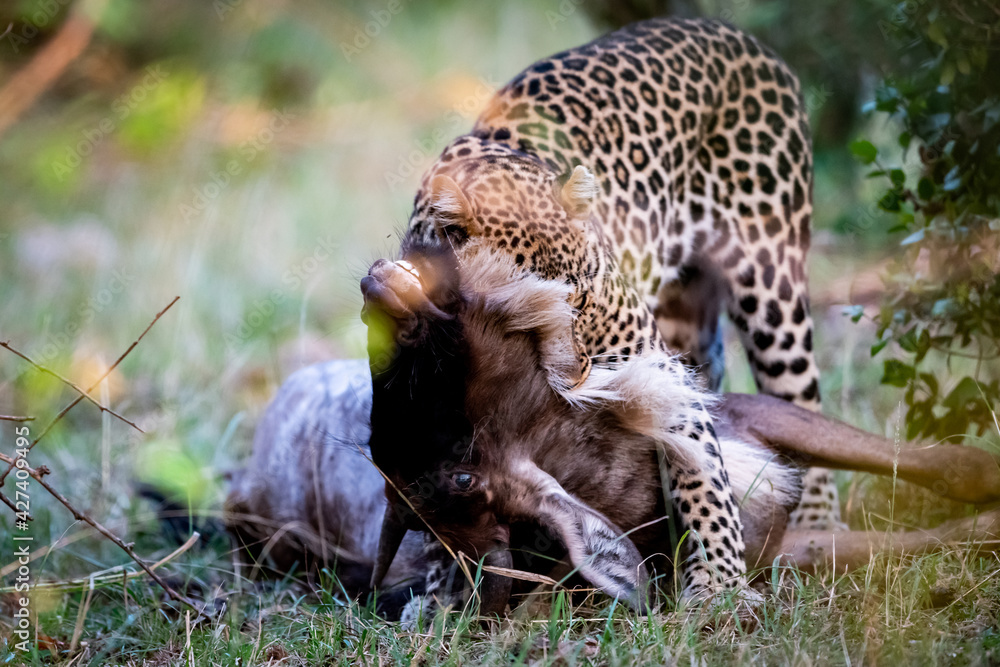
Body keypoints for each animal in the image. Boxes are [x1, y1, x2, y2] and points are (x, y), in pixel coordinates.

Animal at [390, 16, 839, 607]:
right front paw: (444, 592)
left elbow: (701, 472)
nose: (580, 376)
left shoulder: (657, 365)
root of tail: (728, 30)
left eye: (582, 299)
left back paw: (819, 526)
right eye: (525, 315)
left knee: (802, 396)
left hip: (770, 282)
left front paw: (718, 586)